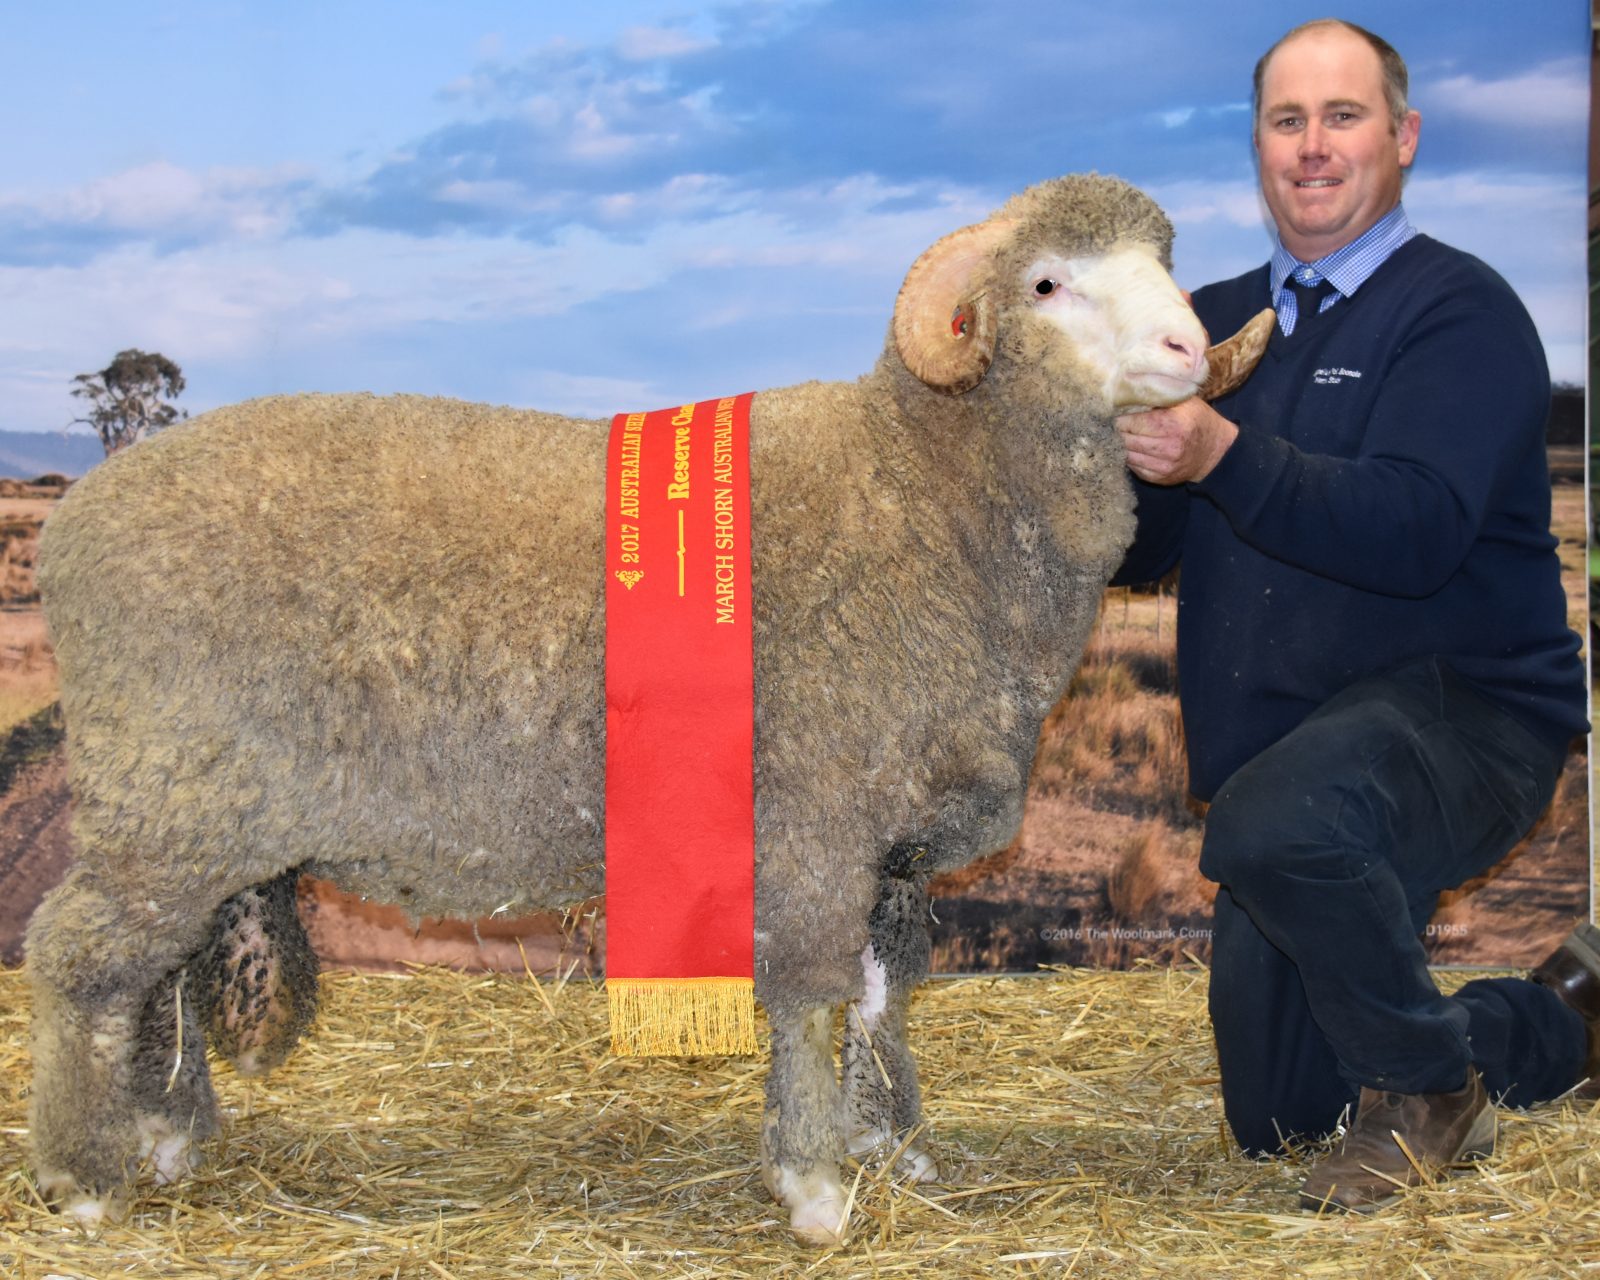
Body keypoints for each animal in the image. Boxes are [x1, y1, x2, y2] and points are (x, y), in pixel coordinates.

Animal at [25, 173, 1270, 1245]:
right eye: (1047, 282)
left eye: (1167, 264)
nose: (1185, 349)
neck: (927, 490)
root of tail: (77, 521)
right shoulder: (814, 813)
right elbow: (809, 993)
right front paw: (814, 1184)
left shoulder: (893, 836)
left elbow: (881, 990)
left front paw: (888, 1144)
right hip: (165, 782)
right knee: (78, 953)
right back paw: (82, 1178)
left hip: (201, 812)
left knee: (163, 964)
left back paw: (171, 1136)